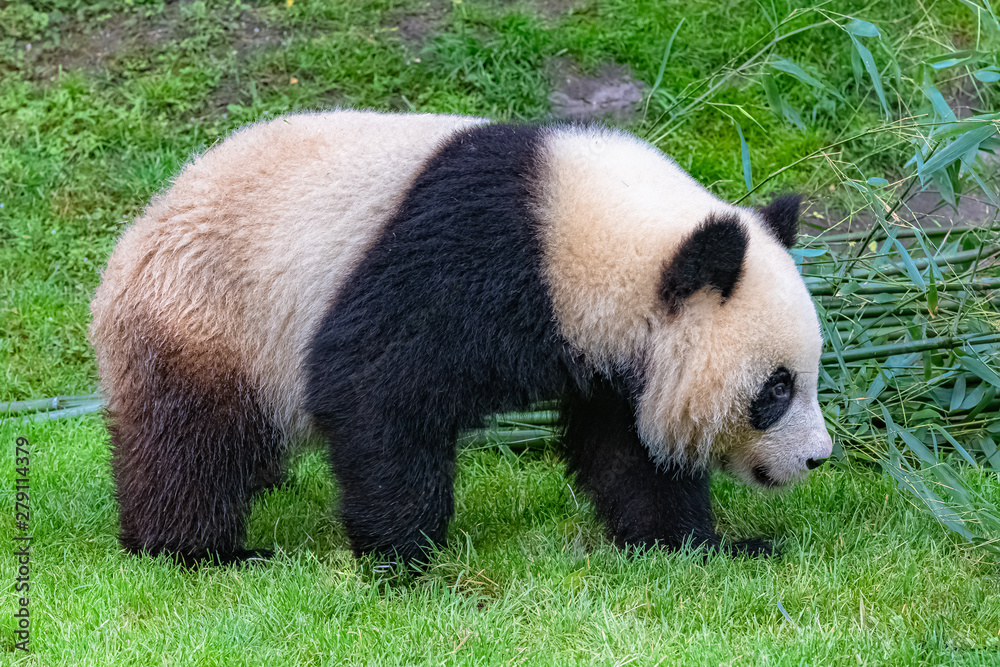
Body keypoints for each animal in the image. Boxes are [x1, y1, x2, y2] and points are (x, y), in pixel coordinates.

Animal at [90, 109, 833, 565]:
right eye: (775, 389)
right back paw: (203, 551)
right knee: (194, 440)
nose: (819, 457)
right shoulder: (466, 256)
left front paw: (708, 545)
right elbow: (374, 386)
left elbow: (631, 451)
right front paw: (402, 556)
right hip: (210, 312)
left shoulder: (610, 352)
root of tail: (133, 239)